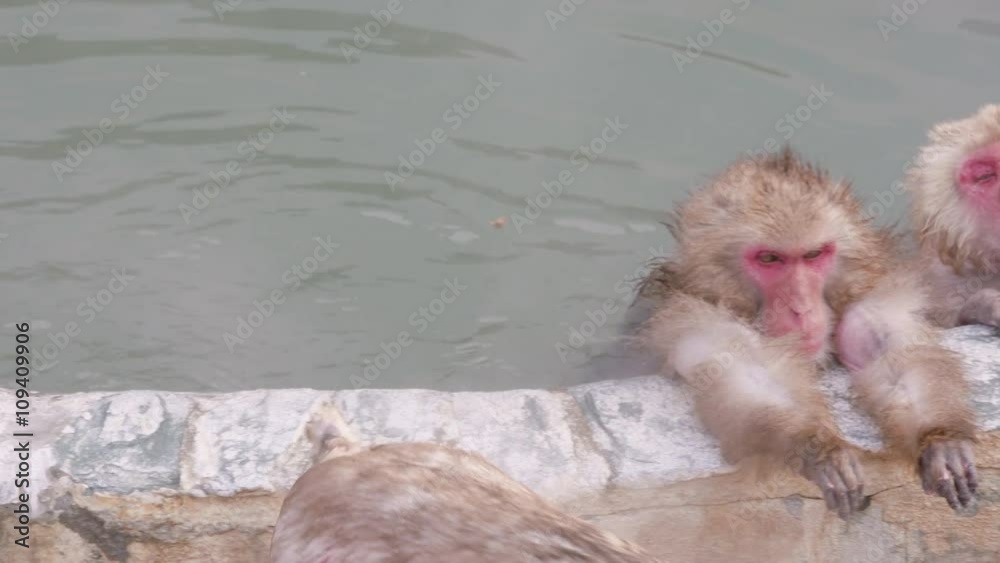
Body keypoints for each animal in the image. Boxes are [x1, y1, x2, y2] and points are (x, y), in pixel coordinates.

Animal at [635, 148, 978, 518]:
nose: (800, 307)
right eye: (769, 258)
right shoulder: (696, 317)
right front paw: (819, 448)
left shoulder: (870, 303)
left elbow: (890, 354)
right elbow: (750, 374)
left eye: (814, 255)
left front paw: (941, 440)